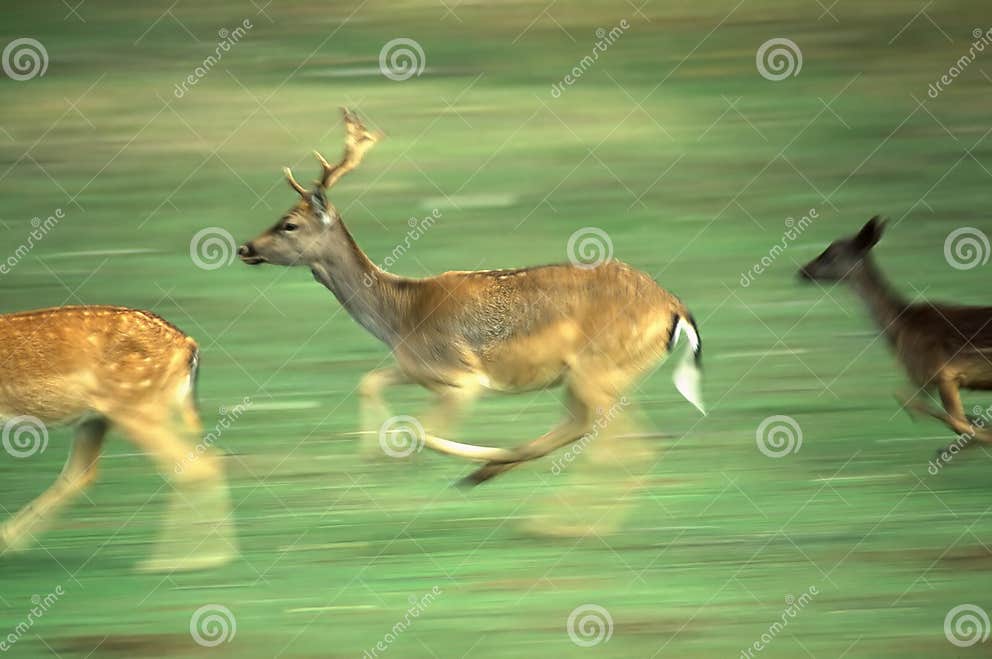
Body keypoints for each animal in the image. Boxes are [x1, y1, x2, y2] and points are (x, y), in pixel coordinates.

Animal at [0, 305, 236, 572]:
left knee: (196, 465)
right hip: (103, 417)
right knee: (80, 474)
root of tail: (188, 346)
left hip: (136, 406)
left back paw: (176, 561)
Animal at [237, 109, 705, 488]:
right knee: (587, 426)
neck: (399, 315)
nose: (245, 247)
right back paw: (493, 472)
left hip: (599, 365)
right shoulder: (416, 366)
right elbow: (368, 381)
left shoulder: (461, 375)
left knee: (617, 438)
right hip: (596, 374)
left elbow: (419, 430)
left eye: (289, 223)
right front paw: (370, 454)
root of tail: (674, 307)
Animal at [799, 216, 992, 460]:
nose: (802, 271)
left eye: (831, 254)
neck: (898, 329)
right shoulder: (930, 378)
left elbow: (922, 406)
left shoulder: (939, 372)